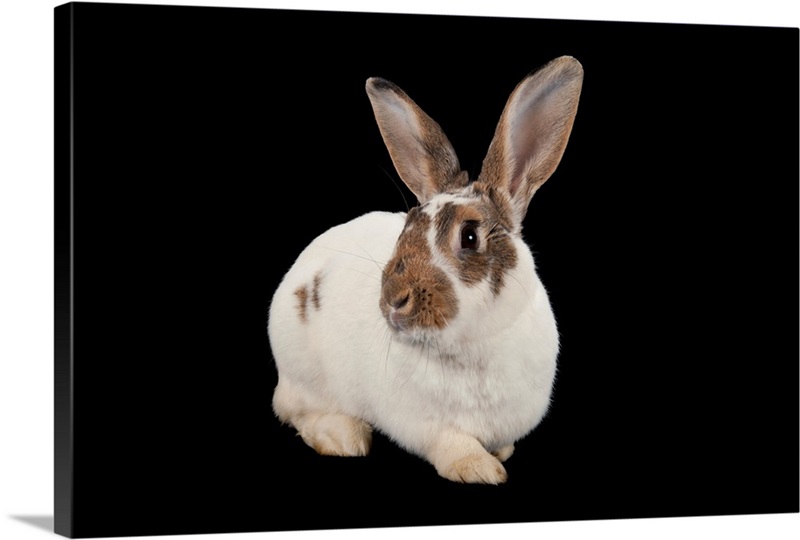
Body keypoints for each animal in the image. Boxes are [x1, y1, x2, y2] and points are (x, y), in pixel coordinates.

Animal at [268, 56, 583, 484]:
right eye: (406, 229)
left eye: (469, 236)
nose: (393, 300)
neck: (472, 343)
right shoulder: (424, 424)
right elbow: (452, 442)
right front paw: (480, 469)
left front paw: (498, 454)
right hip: (305, 375)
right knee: (297, 410)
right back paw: (344, 438)